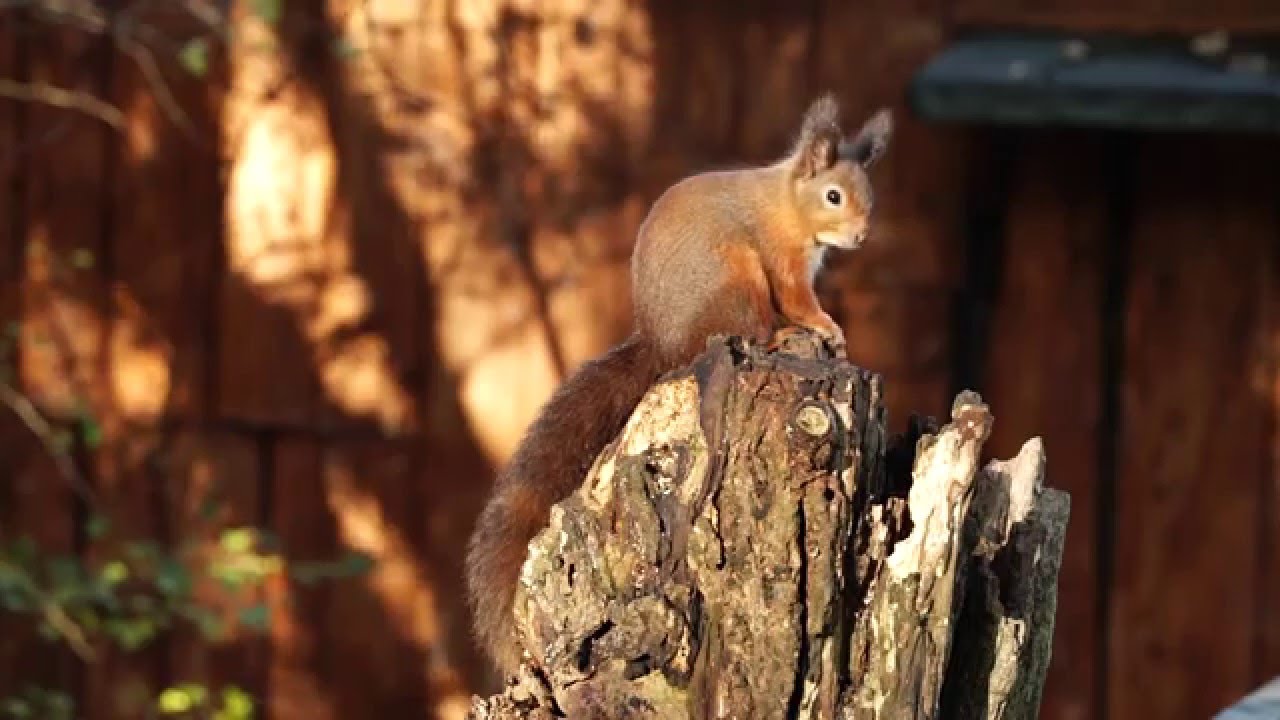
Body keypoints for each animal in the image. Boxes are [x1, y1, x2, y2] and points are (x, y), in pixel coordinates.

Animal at [465, 94, 892, 675]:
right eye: (833, 195)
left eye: (867, 193)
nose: (860, 235)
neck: (786, 203)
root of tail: (664, 345)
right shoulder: (781, 259)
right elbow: (798, 298)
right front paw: (826, 327)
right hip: (737, 277)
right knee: (752, 325)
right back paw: (779, 337)